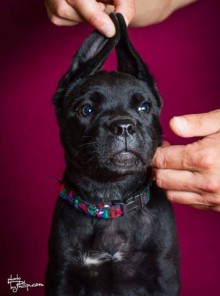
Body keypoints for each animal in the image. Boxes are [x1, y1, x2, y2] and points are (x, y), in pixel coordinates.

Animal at [45, 13, 180, 296]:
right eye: (86, 110)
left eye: (144, 107)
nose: (124, 126)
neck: (110, 200)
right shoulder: (62, 275)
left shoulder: (164, 274)